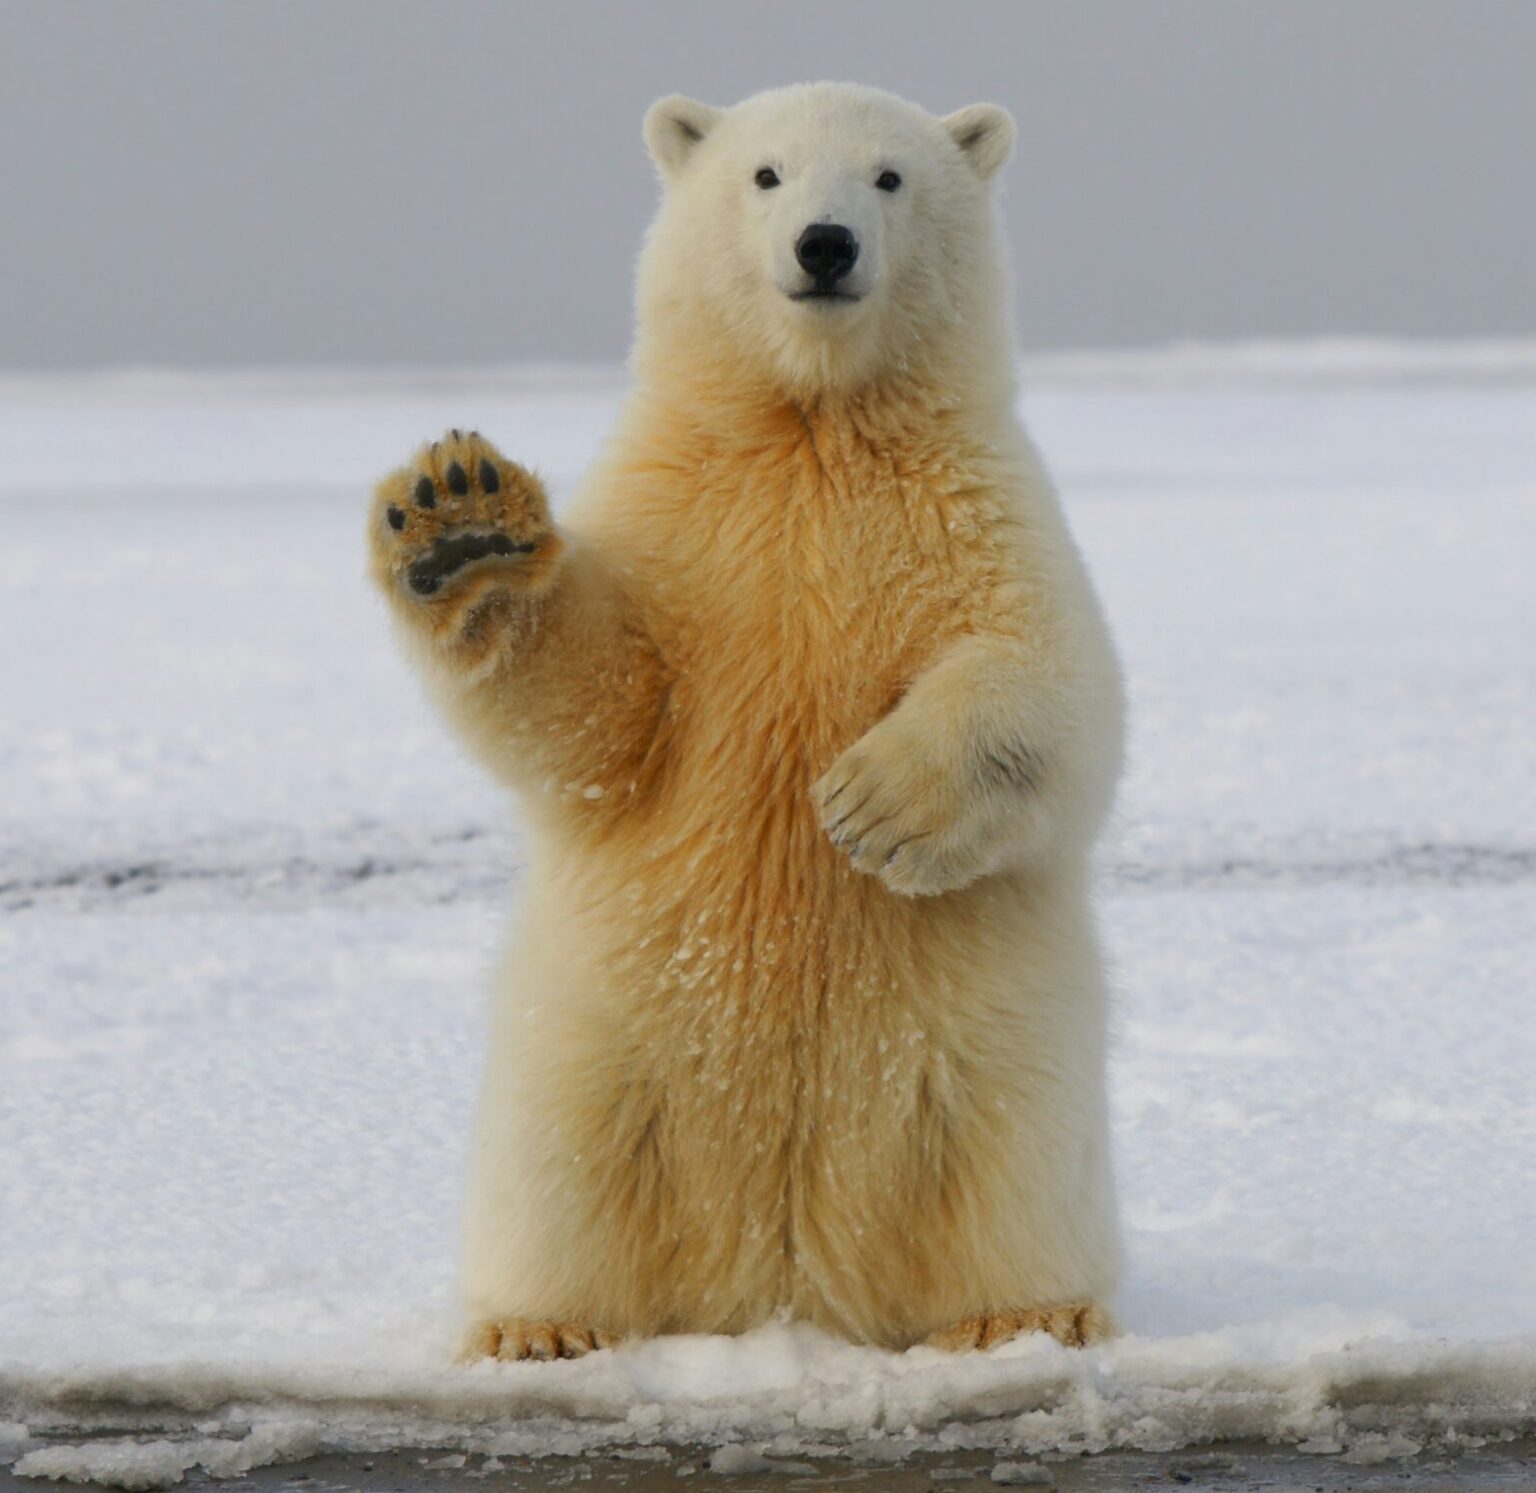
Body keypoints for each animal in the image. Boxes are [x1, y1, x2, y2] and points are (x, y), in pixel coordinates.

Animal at [368, 82, 1125, 1362]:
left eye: (888, 177)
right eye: (765, 174)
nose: (825, 245)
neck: (811, 425)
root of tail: (783, 1280)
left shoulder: (977, 508)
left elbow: (1054, 684)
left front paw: (872, 804)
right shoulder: (683, 522)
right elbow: (601, 711)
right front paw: (461, 522)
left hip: (993, 1049)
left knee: (1008, 1162)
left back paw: (1027, 1312)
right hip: (597, 1041)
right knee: (562, 1167)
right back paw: (537, 1326)